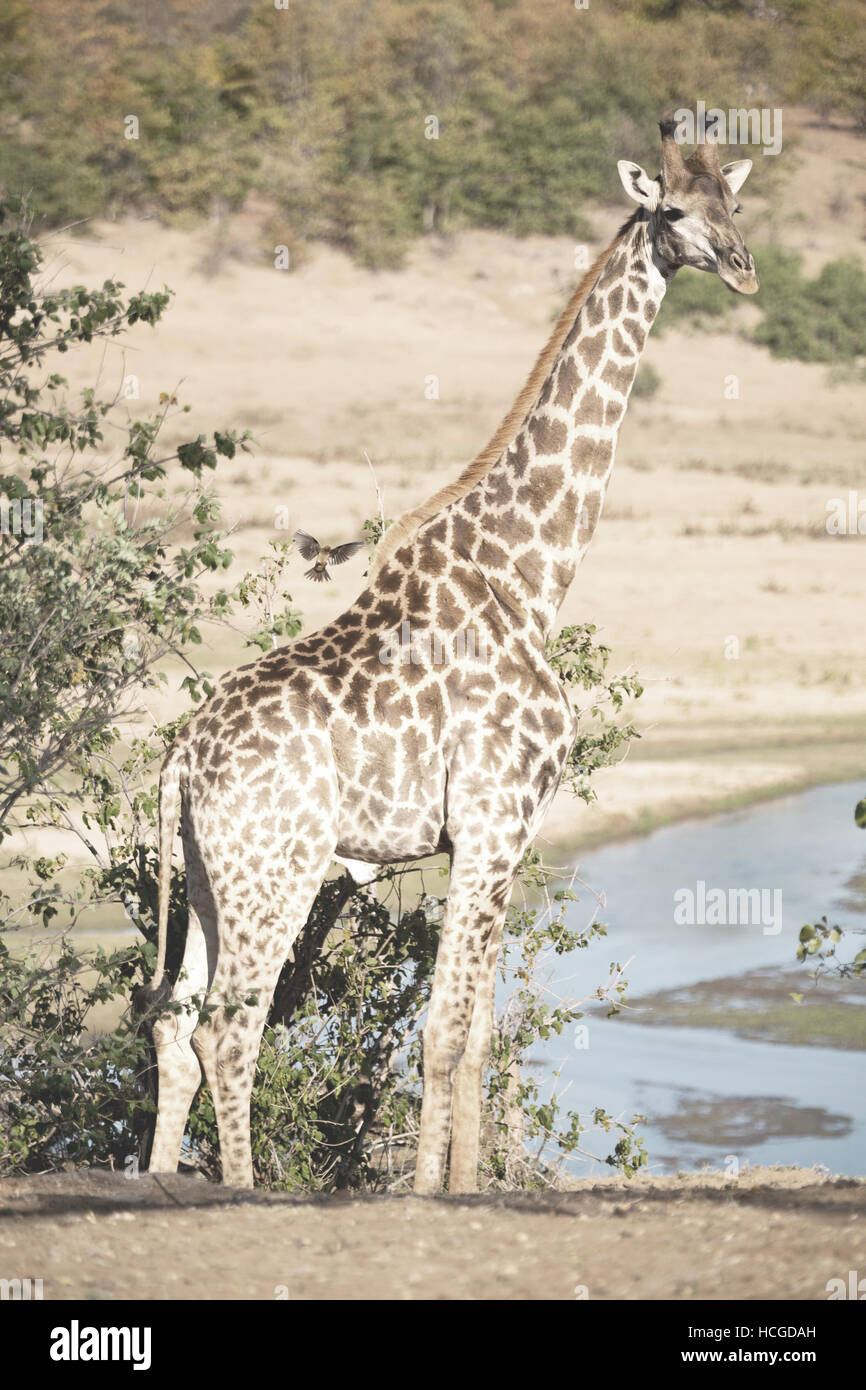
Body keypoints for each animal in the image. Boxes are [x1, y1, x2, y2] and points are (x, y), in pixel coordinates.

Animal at [141, 124, 758, 1194]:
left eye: (737, 200)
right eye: (675, 210)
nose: (745, 267)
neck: (530, 575)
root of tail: (182, 753)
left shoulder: (509, 833)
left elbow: (472, 1037)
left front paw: (465, 1186)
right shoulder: (491, 817)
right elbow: (443, 1031)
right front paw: (432, 1191)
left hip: (213, 875)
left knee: (176, 1026)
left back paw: (160, 1183)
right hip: (278, 867)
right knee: (230, 1029)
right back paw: (239, 1190)